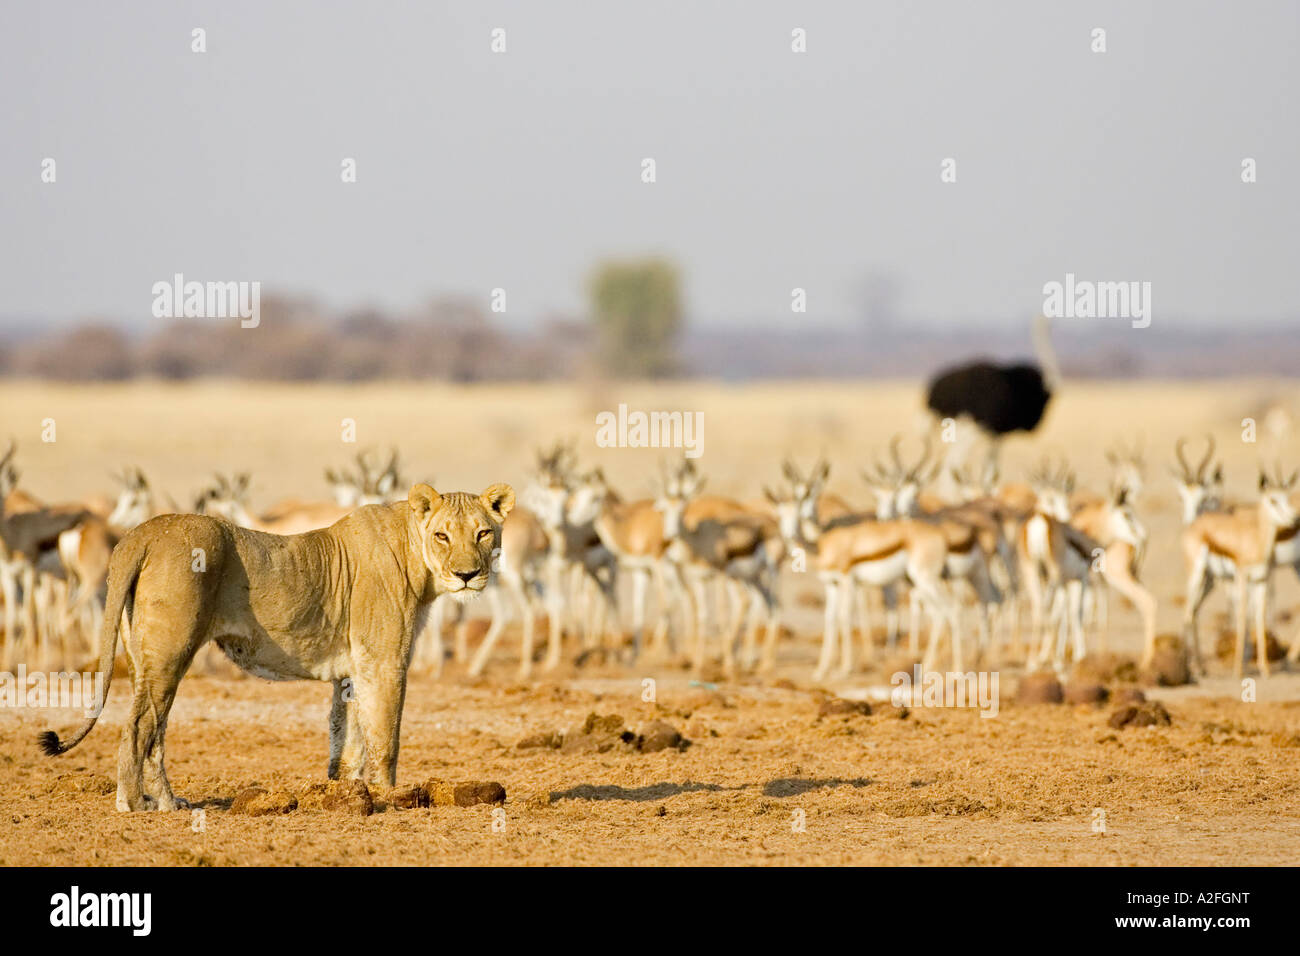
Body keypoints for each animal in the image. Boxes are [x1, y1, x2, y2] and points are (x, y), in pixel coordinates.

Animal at [39, 481, 514, 811]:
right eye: (442, 536)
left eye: (483, 533)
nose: (468, 575)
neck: (416, 558)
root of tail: (142, 533)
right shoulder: (384, 661)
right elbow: (385, 736)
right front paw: (390, 796)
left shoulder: (351, 671)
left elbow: (347, 740)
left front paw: (344, 793)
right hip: (170, 651)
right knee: (139, 725)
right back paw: (134, 804)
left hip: (144, 656)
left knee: (155, 729)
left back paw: (169, 803)